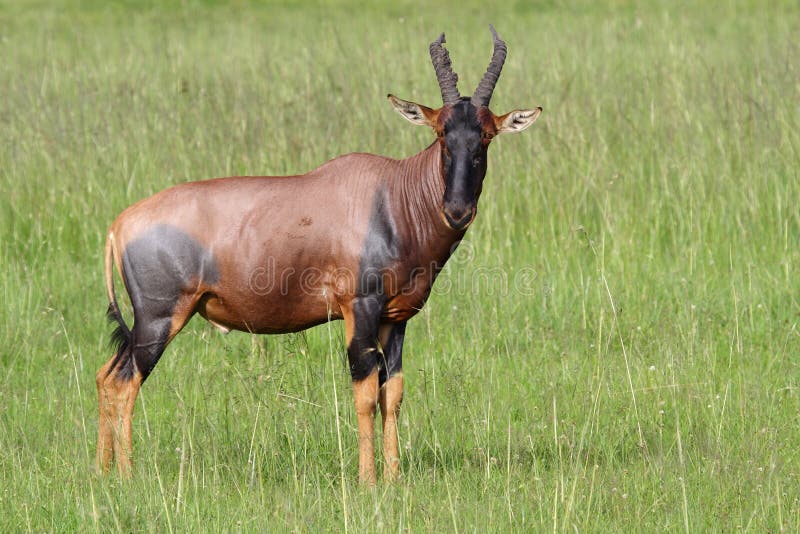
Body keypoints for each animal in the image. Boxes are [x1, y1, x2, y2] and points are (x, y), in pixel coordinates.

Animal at [96, 26, 541, 484]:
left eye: (486, 135)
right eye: (440, 133)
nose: (457, 210)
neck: (390, 196)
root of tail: (120, 223)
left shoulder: (396, 318)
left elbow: (393, 393)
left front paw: (394, 479)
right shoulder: (359, 309)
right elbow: (364, 393)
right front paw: (368, 481)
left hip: (145, 324)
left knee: (106, 376)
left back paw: (102, 471)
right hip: (160, 318)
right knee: (124, 382)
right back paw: (127, 476)